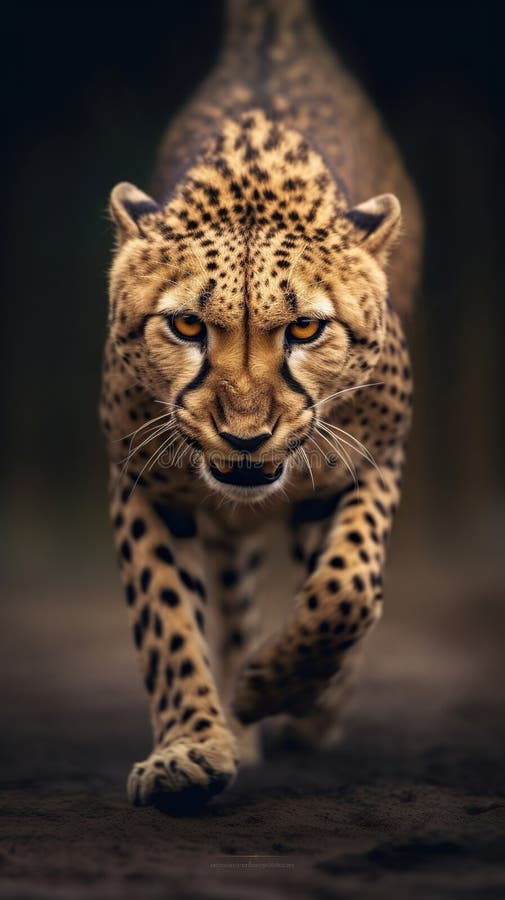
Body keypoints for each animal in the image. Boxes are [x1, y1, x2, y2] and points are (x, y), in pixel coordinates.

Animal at [100, 0, 422, 811]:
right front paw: (193, 744)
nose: (244, 436)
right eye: (186, 326)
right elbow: (168, 617)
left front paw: (271, 691)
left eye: (305, 329)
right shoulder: (143, 480)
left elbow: (347, 589)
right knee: (233, 586)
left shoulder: (372, 459)